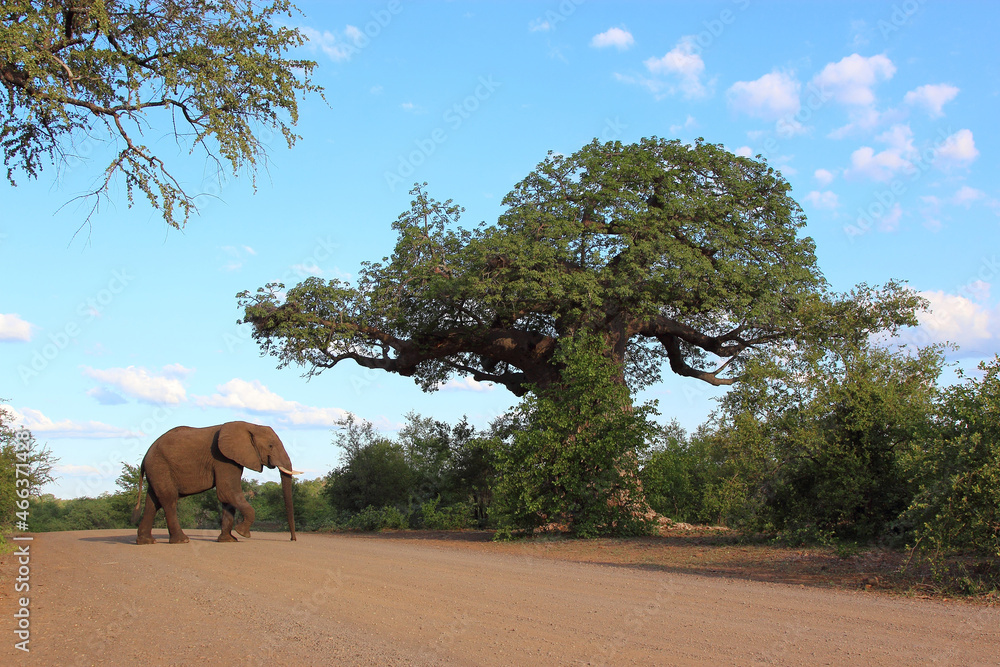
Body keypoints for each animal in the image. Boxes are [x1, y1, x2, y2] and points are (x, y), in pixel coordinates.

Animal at [132, 421, 301, 544]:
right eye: (270, 446)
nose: (292, 539)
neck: (249, 426)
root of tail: (145, 456)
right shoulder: (222, 457)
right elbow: (227, 491)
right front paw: (242, 533)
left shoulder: (232, 458)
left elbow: (228, 497)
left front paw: (229, 540)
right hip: (160, 466)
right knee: (169, 499)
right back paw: (182, 540)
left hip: (156, 469)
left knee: (153, 501)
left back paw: (146, 541)